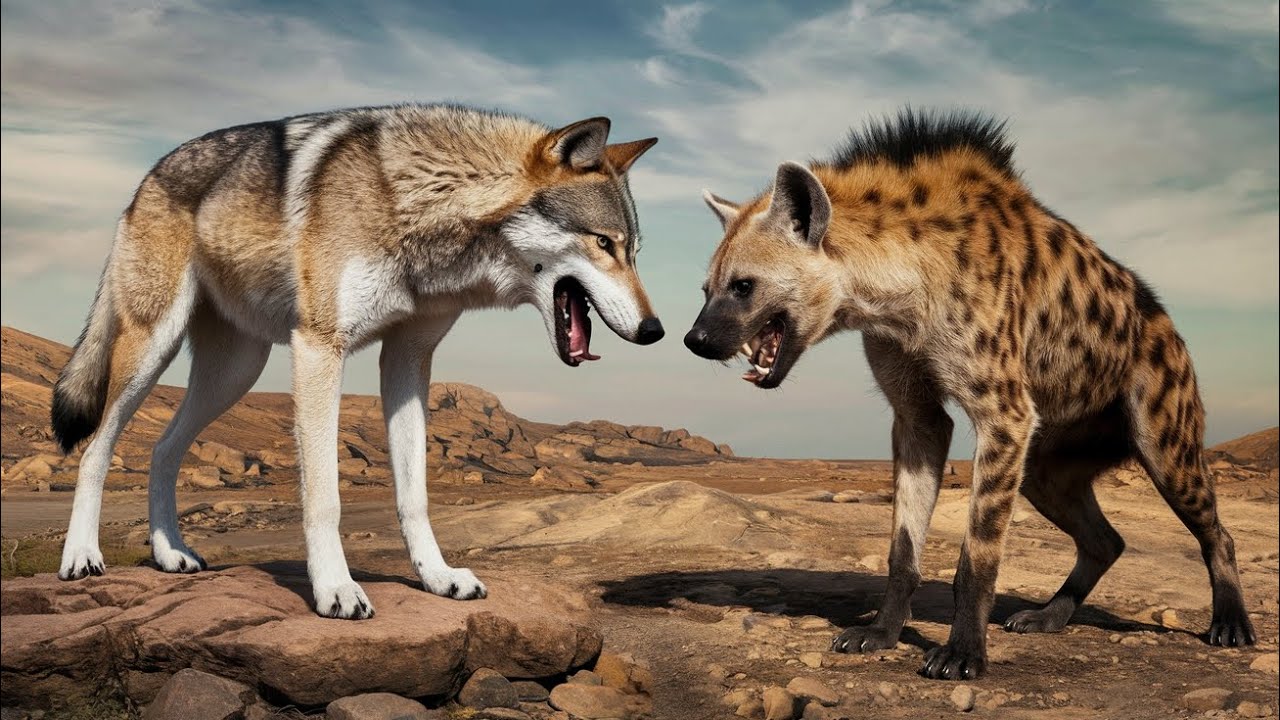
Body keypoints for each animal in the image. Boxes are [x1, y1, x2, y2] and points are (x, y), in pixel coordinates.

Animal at [51, 104, 665, 618]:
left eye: (634, 252)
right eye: (604, 244)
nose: (655, 330)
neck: (418, 201)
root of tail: (150, 173)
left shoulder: (408, 359)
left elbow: (414, 497)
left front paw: (438, 577)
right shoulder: (319, 348)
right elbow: (325, 497)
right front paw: (335, 590)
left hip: (235, 373)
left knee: (161, 450)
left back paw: (170, 554)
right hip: (153, 347)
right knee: (97, 447)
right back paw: (81, 556)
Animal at [684, 108, 1255, 679]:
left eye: (743, 286)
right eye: (705, 289)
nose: (695, 339)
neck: (897, 291)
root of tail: (1171, 332)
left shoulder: (1006, 413)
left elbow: (978, 553)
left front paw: (961, 655)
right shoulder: (916, 410)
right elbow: (903, 543)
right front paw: (880, 633)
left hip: (1163, 433)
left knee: (1213, 528)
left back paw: (1230, 624)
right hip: (1047, 464)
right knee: (1103, 537)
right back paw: (1047, 617)